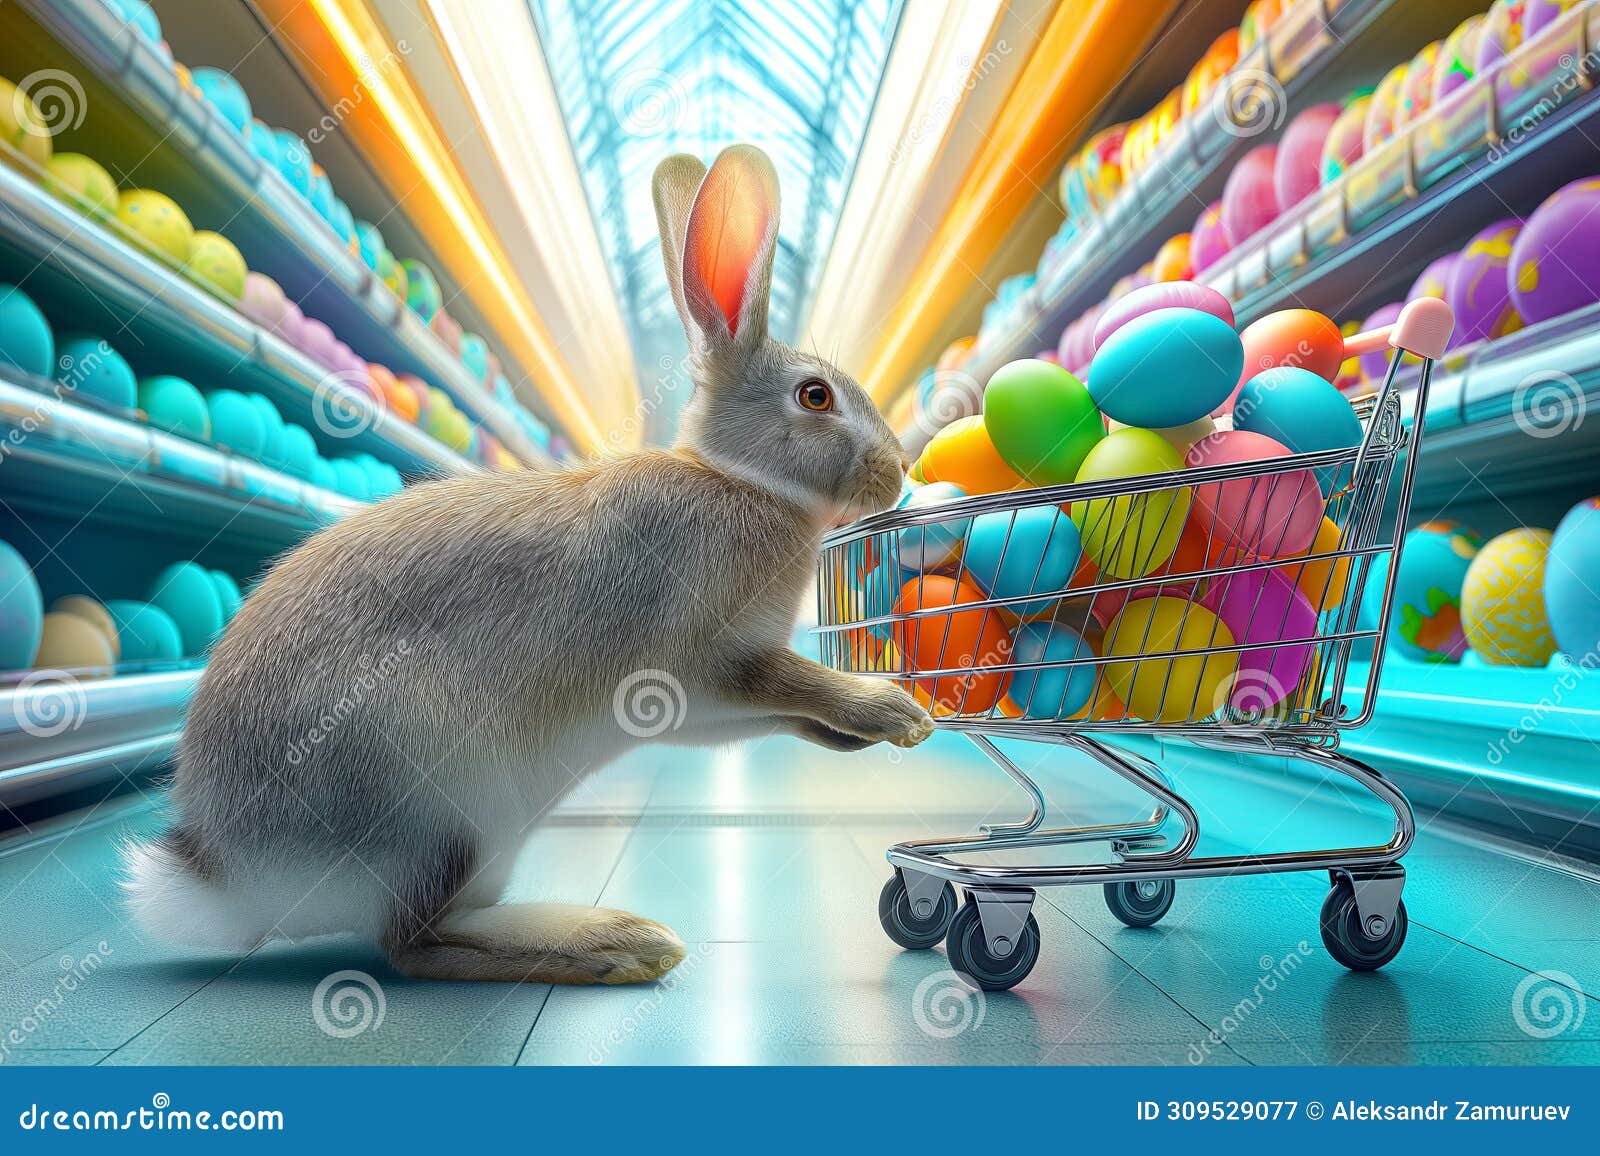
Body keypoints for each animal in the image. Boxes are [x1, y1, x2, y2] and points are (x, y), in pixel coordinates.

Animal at [122, 144, 932, 985]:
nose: (896, 473)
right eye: (815, 396)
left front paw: (862, 734)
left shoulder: (710, 711)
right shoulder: (706, 661)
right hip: (445, 805)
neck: (739, 480)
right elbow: (793, 680)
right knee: (413, 943)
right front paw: (895, 712)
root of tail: (224, 880)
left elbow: (781, 712)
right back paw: (618, 943)